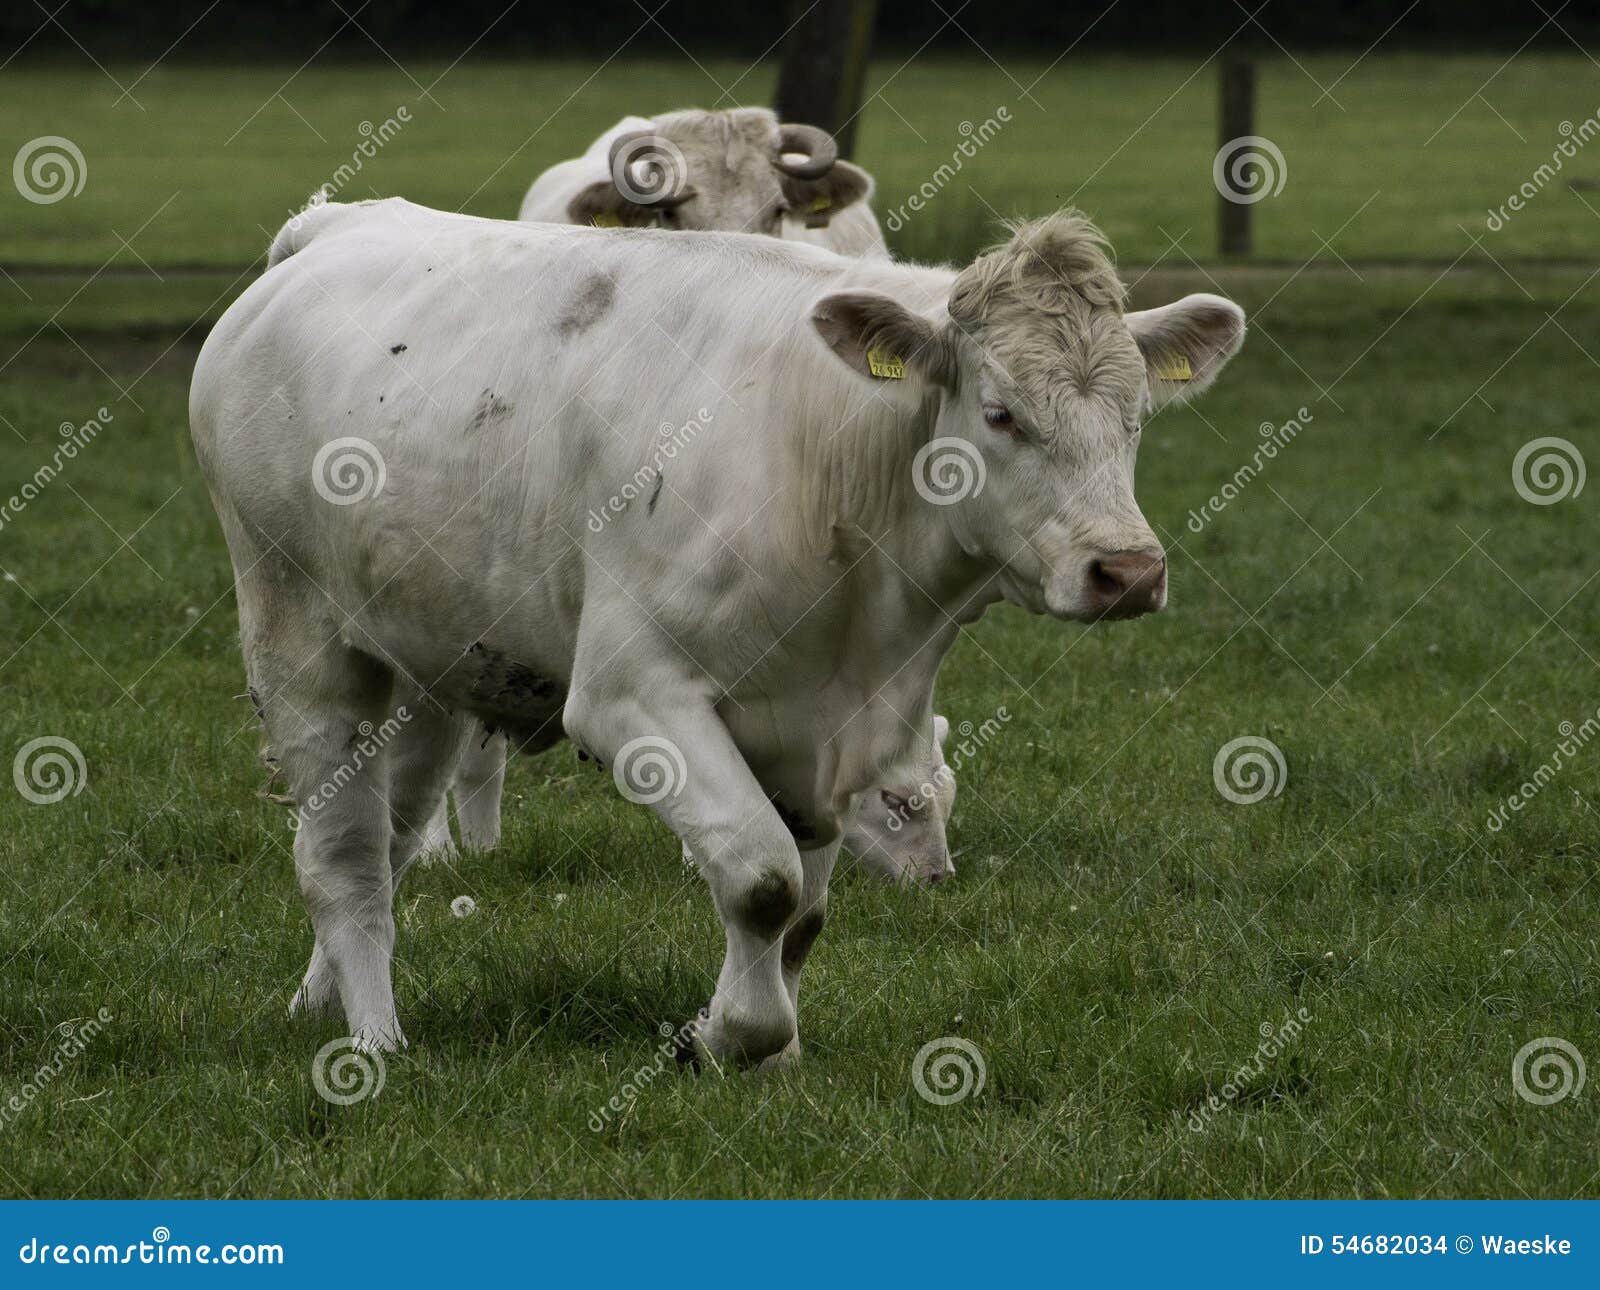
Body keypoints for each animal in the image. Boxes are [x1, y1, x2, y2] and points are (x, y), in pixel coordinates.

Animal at [191, 197, 1244, 1066]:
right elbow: (762, 880)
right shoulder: (633, 696)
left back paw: (320, 1000)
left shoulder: (823, 731)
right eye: (1001, 413)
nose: (1128, 571)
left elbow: (803, 915)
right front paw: (730, 1037)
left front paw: (769, 1053)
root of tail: (335, 225)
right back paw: (373, 1041)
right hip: (298, 633)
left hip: (432, 663)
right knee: (341, 858)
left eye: (1137, 417)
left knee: (394, 833)